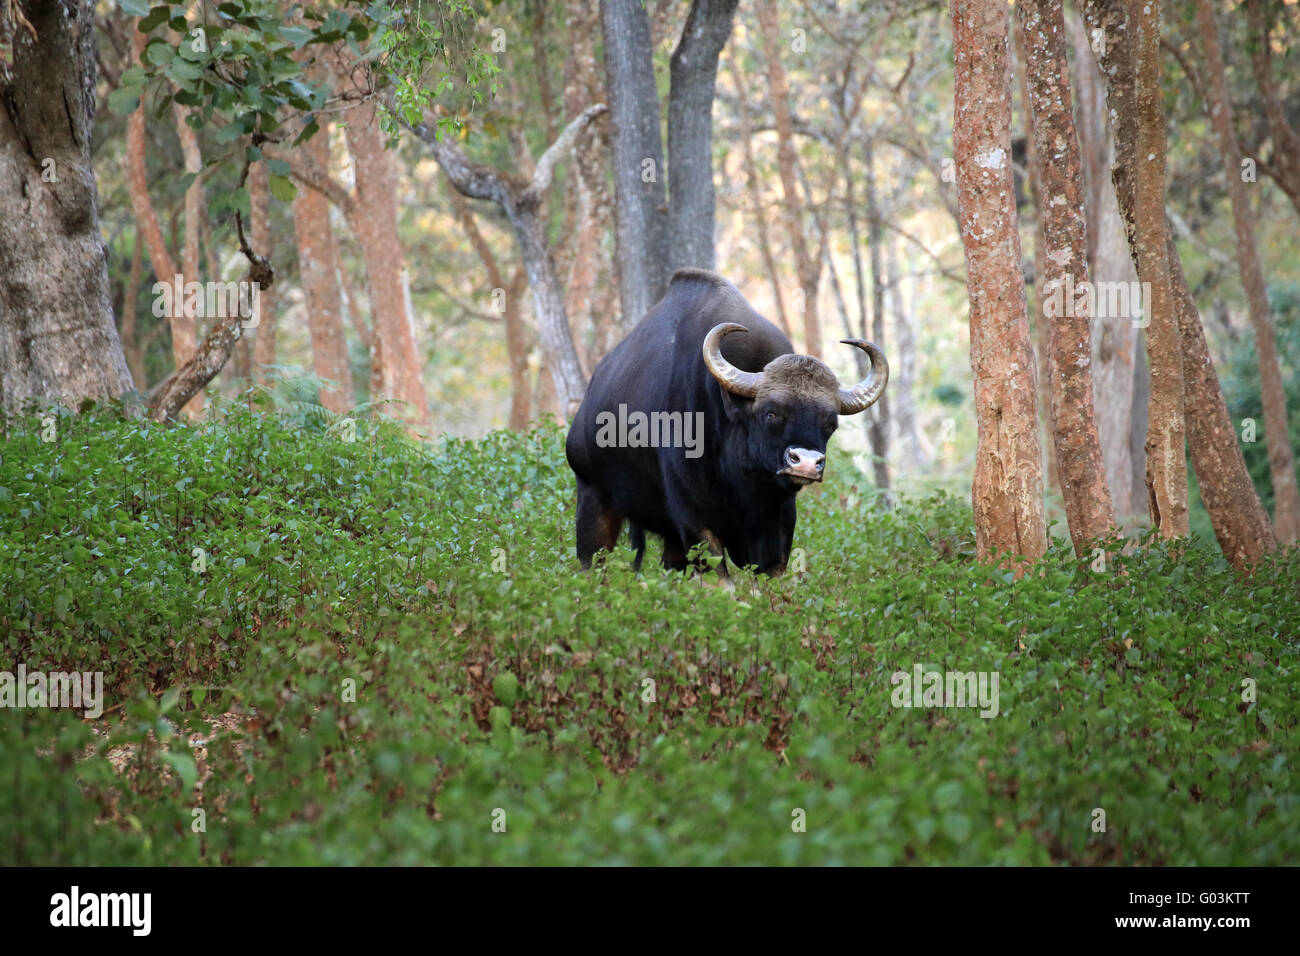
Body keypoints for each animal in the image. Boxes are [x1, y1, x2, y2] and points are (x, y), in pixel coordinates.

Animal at [565, 268, 888, 575]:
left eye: (830, 424)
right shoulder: (694, 519)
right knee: (592, 564)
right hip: (593, 500)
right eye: (771, 413)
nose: (807, 464)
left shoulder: (780, 524)